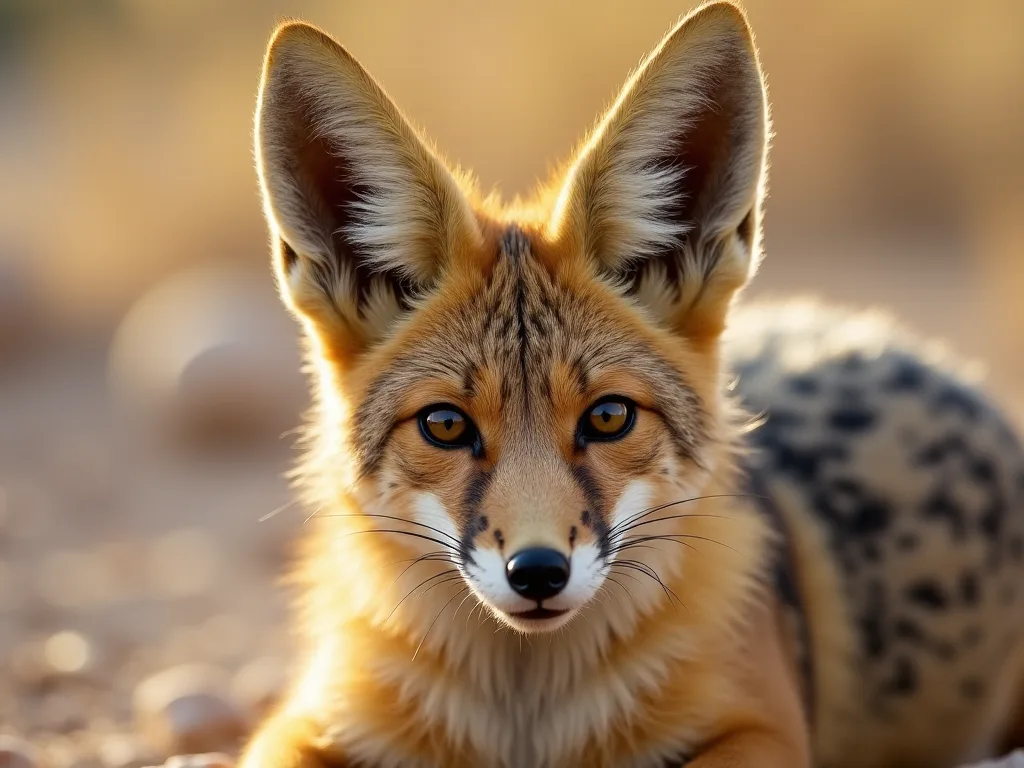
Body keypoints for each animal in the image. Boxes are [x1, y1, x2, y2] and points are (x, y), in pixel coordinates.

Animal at [241, 2, 1024, 766]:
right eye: (445, 425)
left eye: (610, 417)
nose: (537, 572)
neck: (526, 720)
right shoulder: (302, 722)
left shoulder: (764, 728)